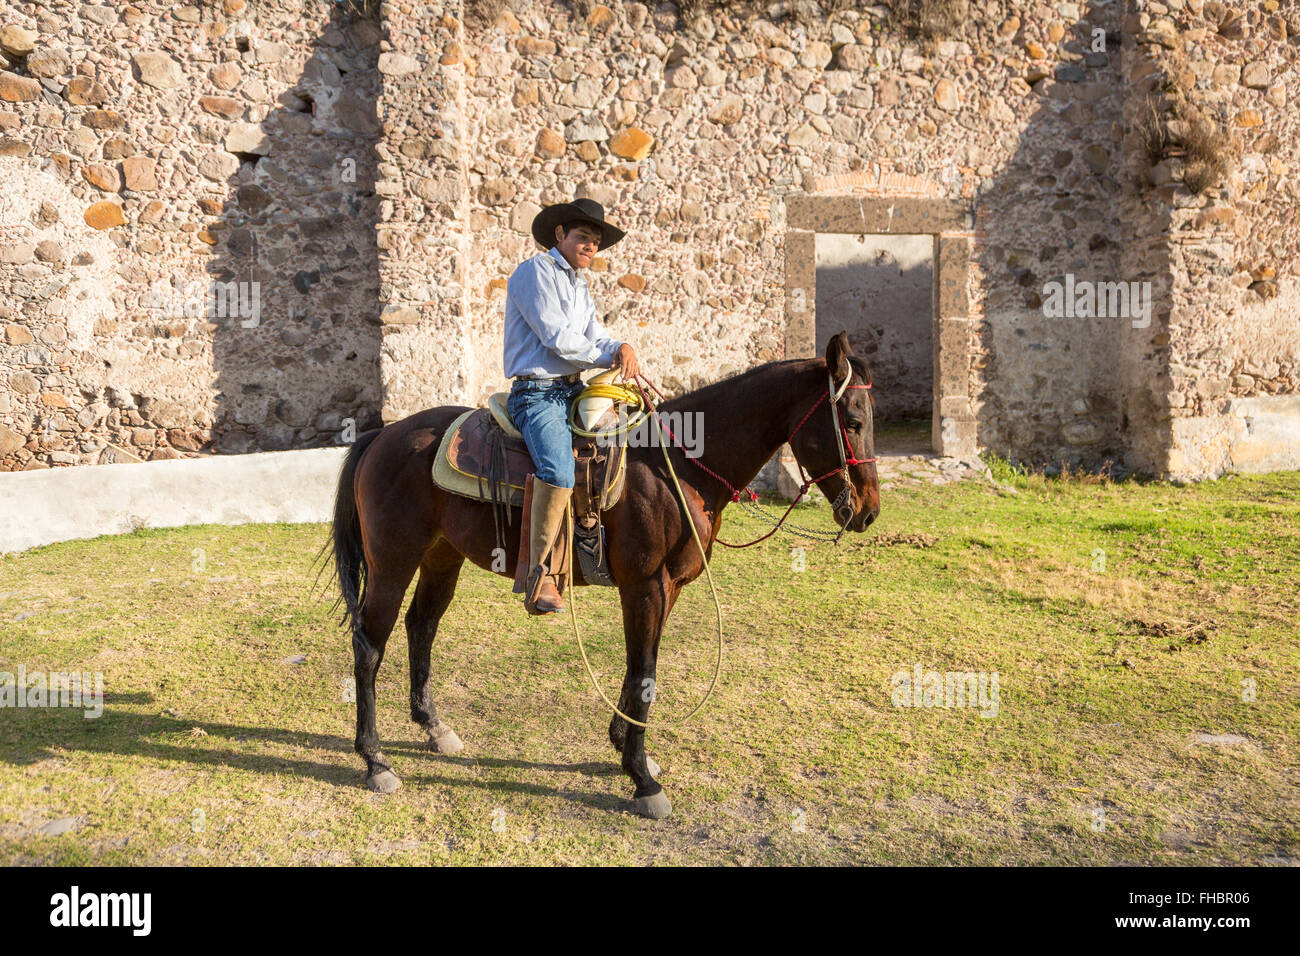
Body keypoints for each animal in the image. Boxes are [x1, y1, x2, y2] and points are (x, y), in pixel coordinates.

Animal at [326, 331, 880, 818]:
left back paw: (434, 728)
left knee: (421, 627)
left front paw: (627, 749)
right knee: (370, 644)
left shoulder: (668, 588)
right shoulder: (646, 586)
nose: (869, 511)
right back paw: (375, 760)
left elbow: (640, 670)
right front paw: (642, 779)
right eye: (852, 420)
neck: (675, 468)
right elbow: (644, 670)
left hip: (442, 557)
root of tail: (384, 435)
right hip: (391, 563)